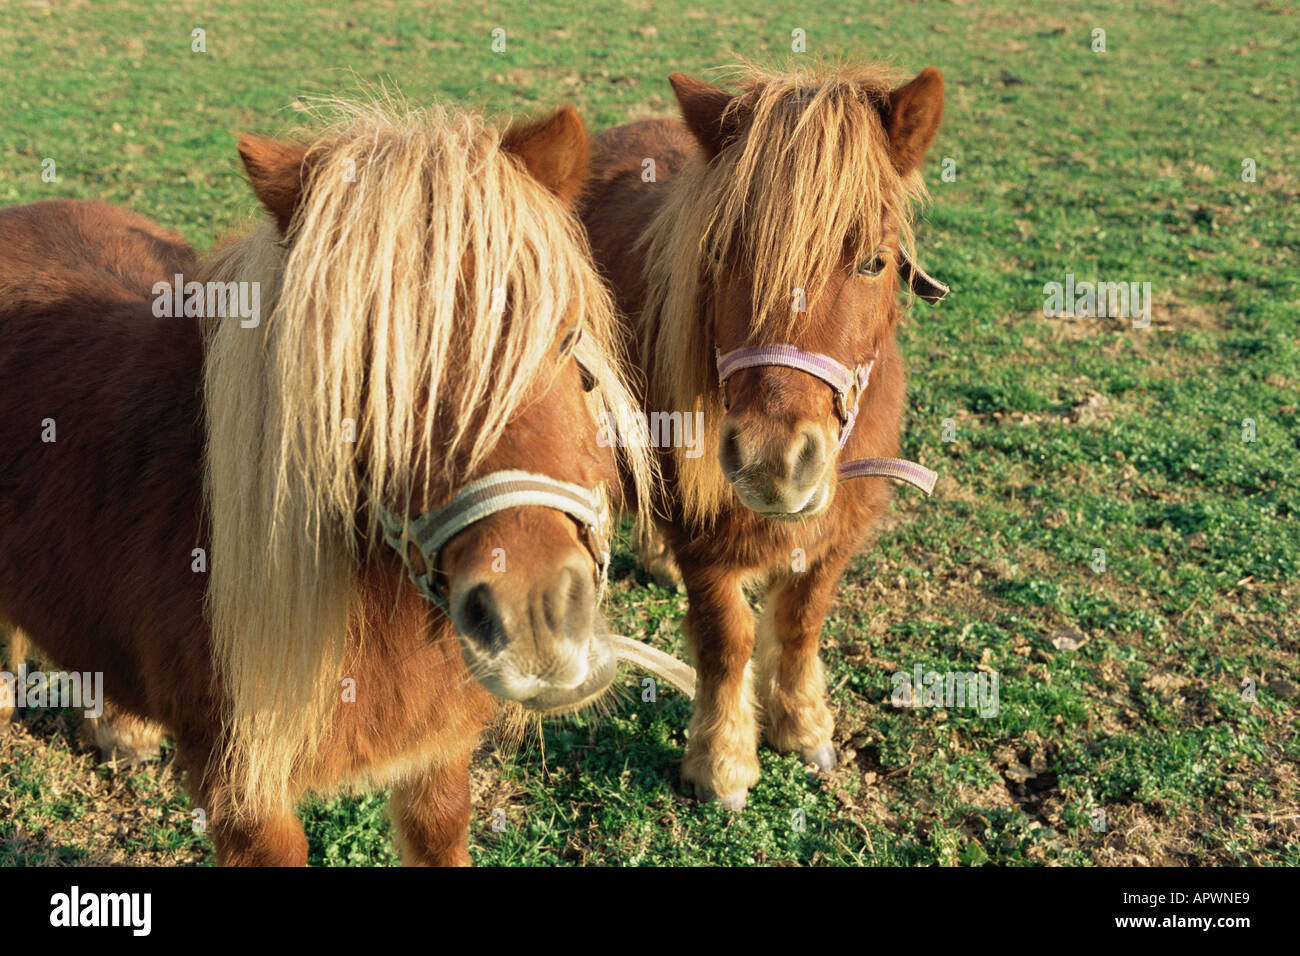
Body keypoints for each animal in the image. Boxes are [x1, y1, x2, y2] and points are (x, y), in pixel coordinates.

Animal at [579, 63, 946, 808]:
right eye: (720, 251)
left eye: (874, 261)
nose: (774, 461)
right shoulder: (708, 547)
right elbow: (728, 639)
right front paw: (722, 762)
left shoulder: (836, 539)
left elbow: (801, 623)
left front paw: (804, 728)